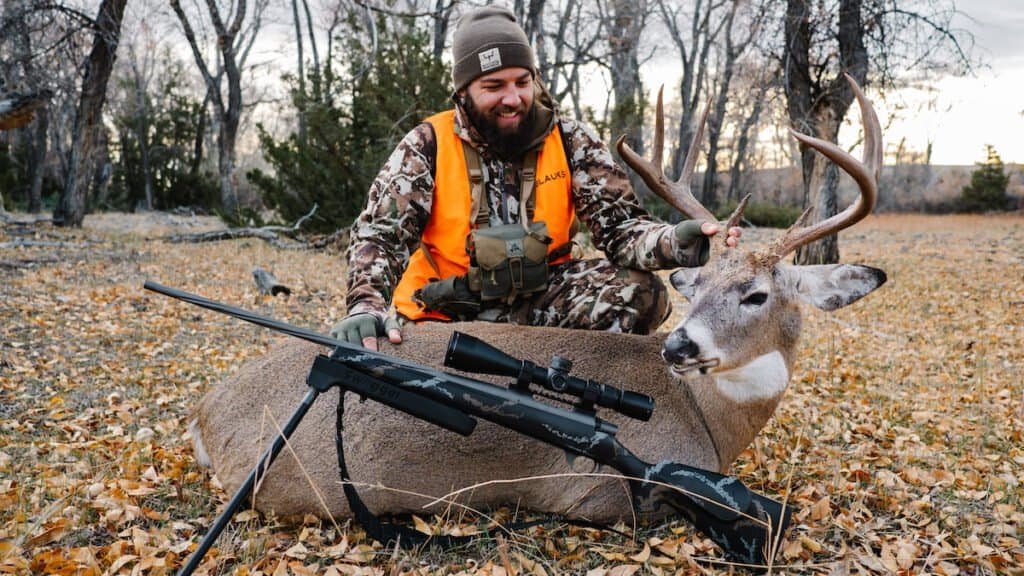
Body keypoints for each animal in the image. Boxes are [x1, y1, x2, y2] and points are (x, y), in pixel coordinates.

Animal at [188, 75, 885, 540]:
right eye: (701, 282)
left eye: (755, 293)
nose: (679, 345)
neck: (708, 419)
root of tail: (205, 414)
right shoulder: (600, 494)